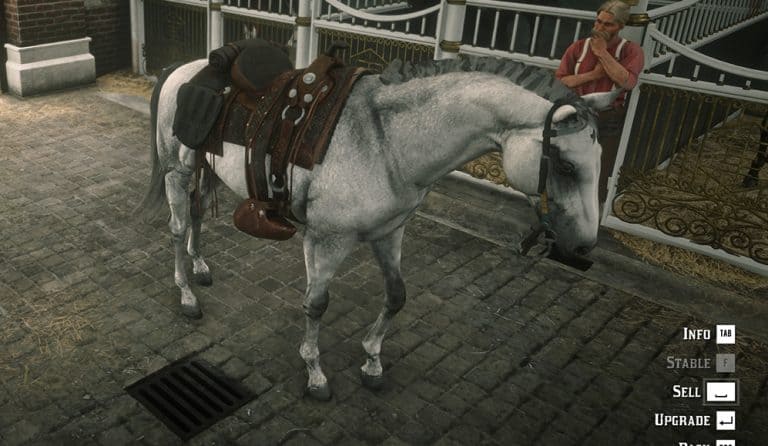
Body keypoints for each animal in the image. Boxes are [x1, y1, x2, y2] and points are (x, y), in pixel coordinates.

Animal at [136, 55, 617, 400]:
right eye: (567, 166)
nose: (583, 248)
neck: (388, 141)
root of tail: (182, 69)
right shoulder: (326, 241)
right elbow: (316, 305)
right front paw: (315, 374)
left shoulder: (390, 232)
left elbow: (397, 295)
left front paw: (371, 362)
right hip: (177, 171)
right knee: (177, 227)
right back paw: (187, 293)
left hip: (206, 169)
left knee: (197, 213)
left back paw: (200, 266)